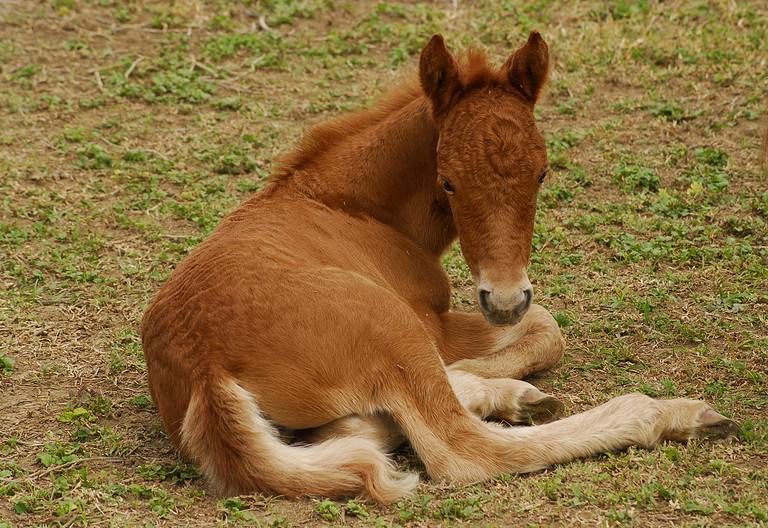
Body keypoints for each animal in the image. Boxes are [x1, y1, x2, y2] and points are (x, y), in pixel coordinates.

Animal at [141, 32, 738, 503]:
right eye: (447, 181)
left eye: (542, 173)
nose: (504, 298)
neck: (351, 207)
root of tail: (206, 369)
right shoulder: (435, 324)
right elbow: (547, 328)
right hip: (391, 325)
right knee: (464, 451)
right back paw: (671, 414)